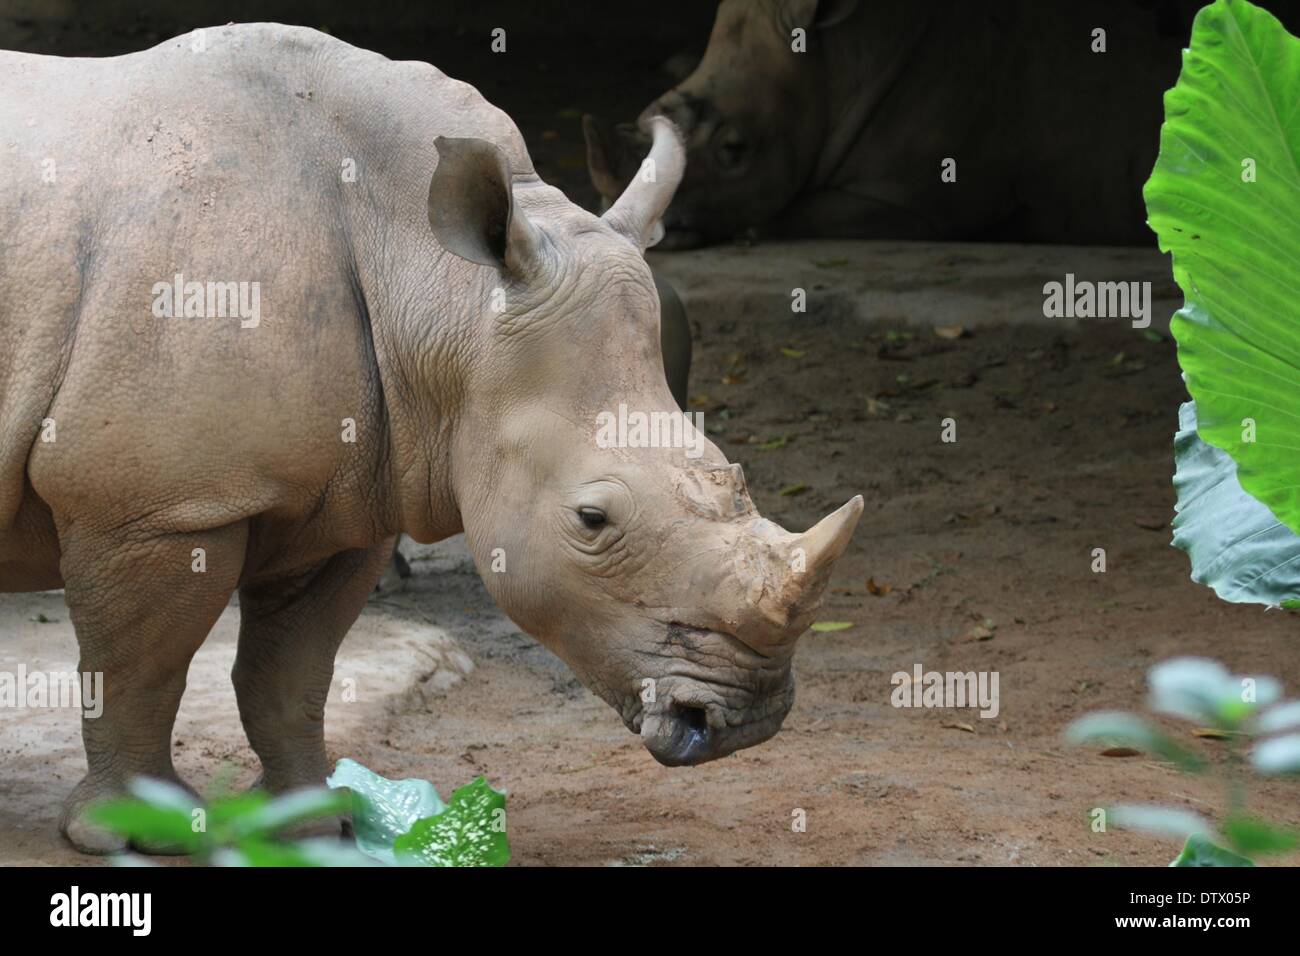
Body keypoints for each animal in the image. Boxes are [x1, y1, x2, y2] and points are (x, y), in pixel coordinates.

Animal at [0, 24, 861, 853]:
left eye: (729, 470)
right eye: (593, 520)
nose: (745, 722)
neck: (437, 286)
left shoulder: (343, 499)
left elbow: (294, 672)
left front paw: (316, 825)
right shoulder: (158, 505)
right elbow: (141, 669)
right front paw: (133, 834)